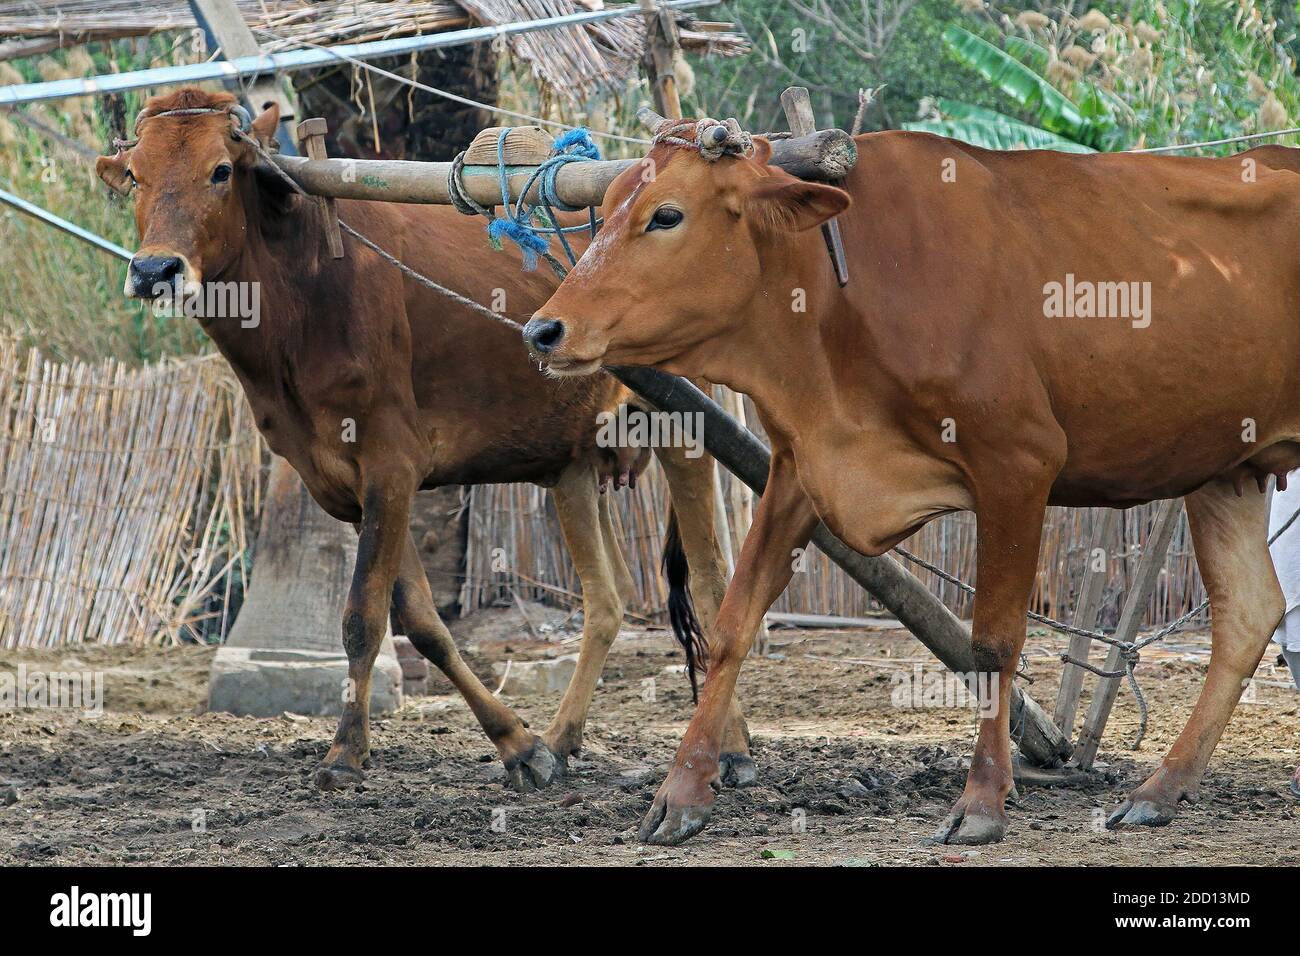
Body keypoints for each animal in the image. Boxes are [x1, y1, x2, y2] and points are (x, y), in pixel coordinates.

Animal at [95, 89, 756, 793]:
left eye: (221, 170)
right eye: (134, 174)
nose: (156, 270)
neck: (299, 300)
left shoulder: (391, 463)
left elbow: (362, 616)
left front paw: (344, 752)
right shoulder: (351, 487)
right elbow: (419, 620)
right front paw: (520, 745)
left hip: (684, 431)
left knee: (712, 583)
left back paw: (732, 750)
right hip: (572, 464)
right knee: (607, 599)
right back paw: (565, 736)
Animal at [526, 110, 1300, 845]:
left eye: (666, 214)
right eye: (609, 206)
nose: (543, 331)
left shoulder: (1018, 462)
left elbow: (993, 644)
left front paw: (981, 802)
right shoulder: (799, 469)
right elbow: (733, 625)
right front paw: (681, 793)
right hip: (1226, 470)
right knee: (1248, 613)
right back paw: (1161, 790)